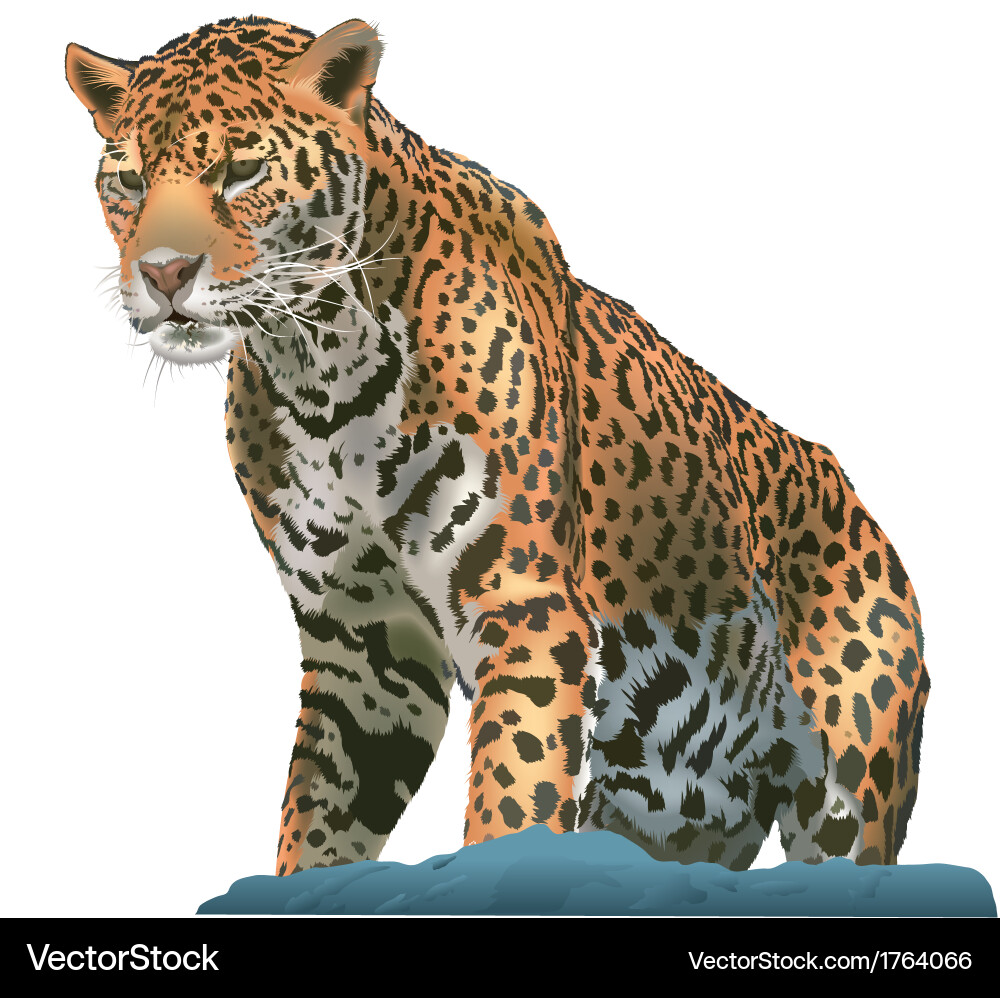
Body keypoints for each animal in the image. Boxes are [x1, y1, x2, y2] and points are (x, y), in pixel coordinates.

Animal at [67, 16, 929, 874]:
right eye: (129, 184)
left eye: (242, 171)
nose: (164, 273)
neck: (321, 371)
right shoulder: (363, 649)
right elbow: (318, 823)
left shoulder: (526, 609)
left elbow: (513, 804)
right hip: (667, 817)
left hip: (851, 784)